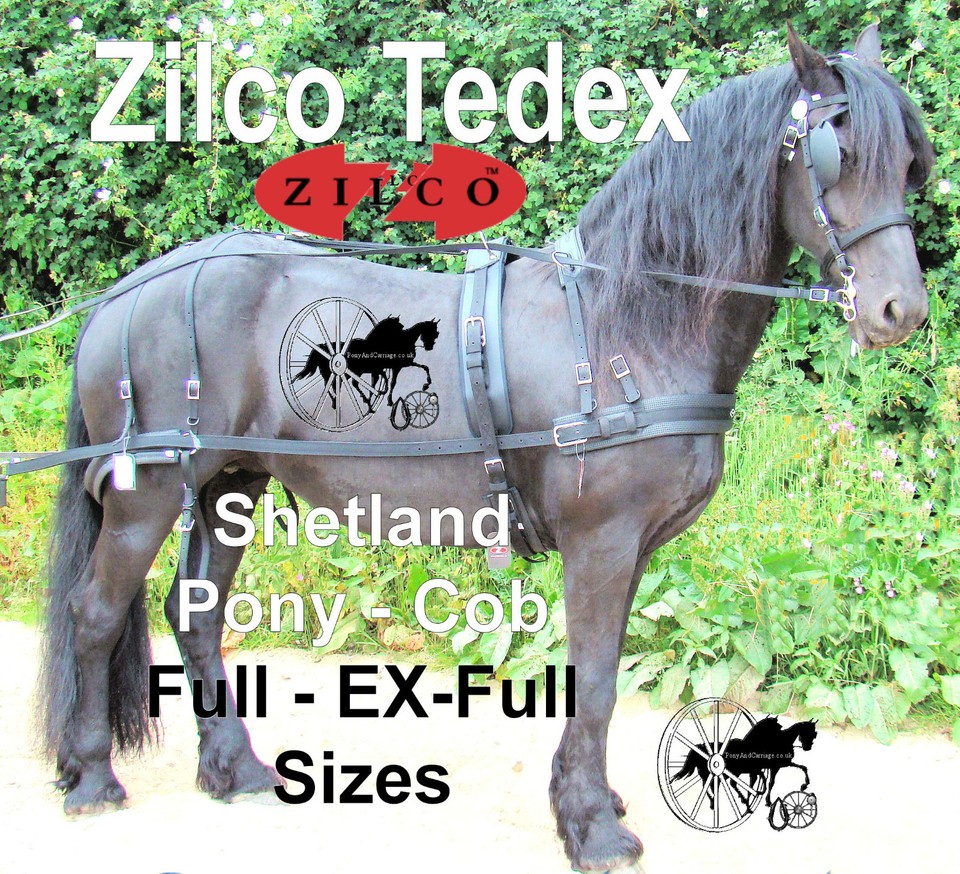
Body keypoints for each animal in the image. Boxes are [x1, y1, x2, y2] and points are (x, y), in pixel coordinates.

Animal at [671, 716, 818, 811]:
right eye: (812, 732)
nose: (808, 747)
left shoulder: (774, 766)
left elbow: (802, 767)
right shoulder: (775, 766)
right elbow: (769, 782)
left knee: (711, 786)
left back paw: (716, 803)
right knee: (718, 785)